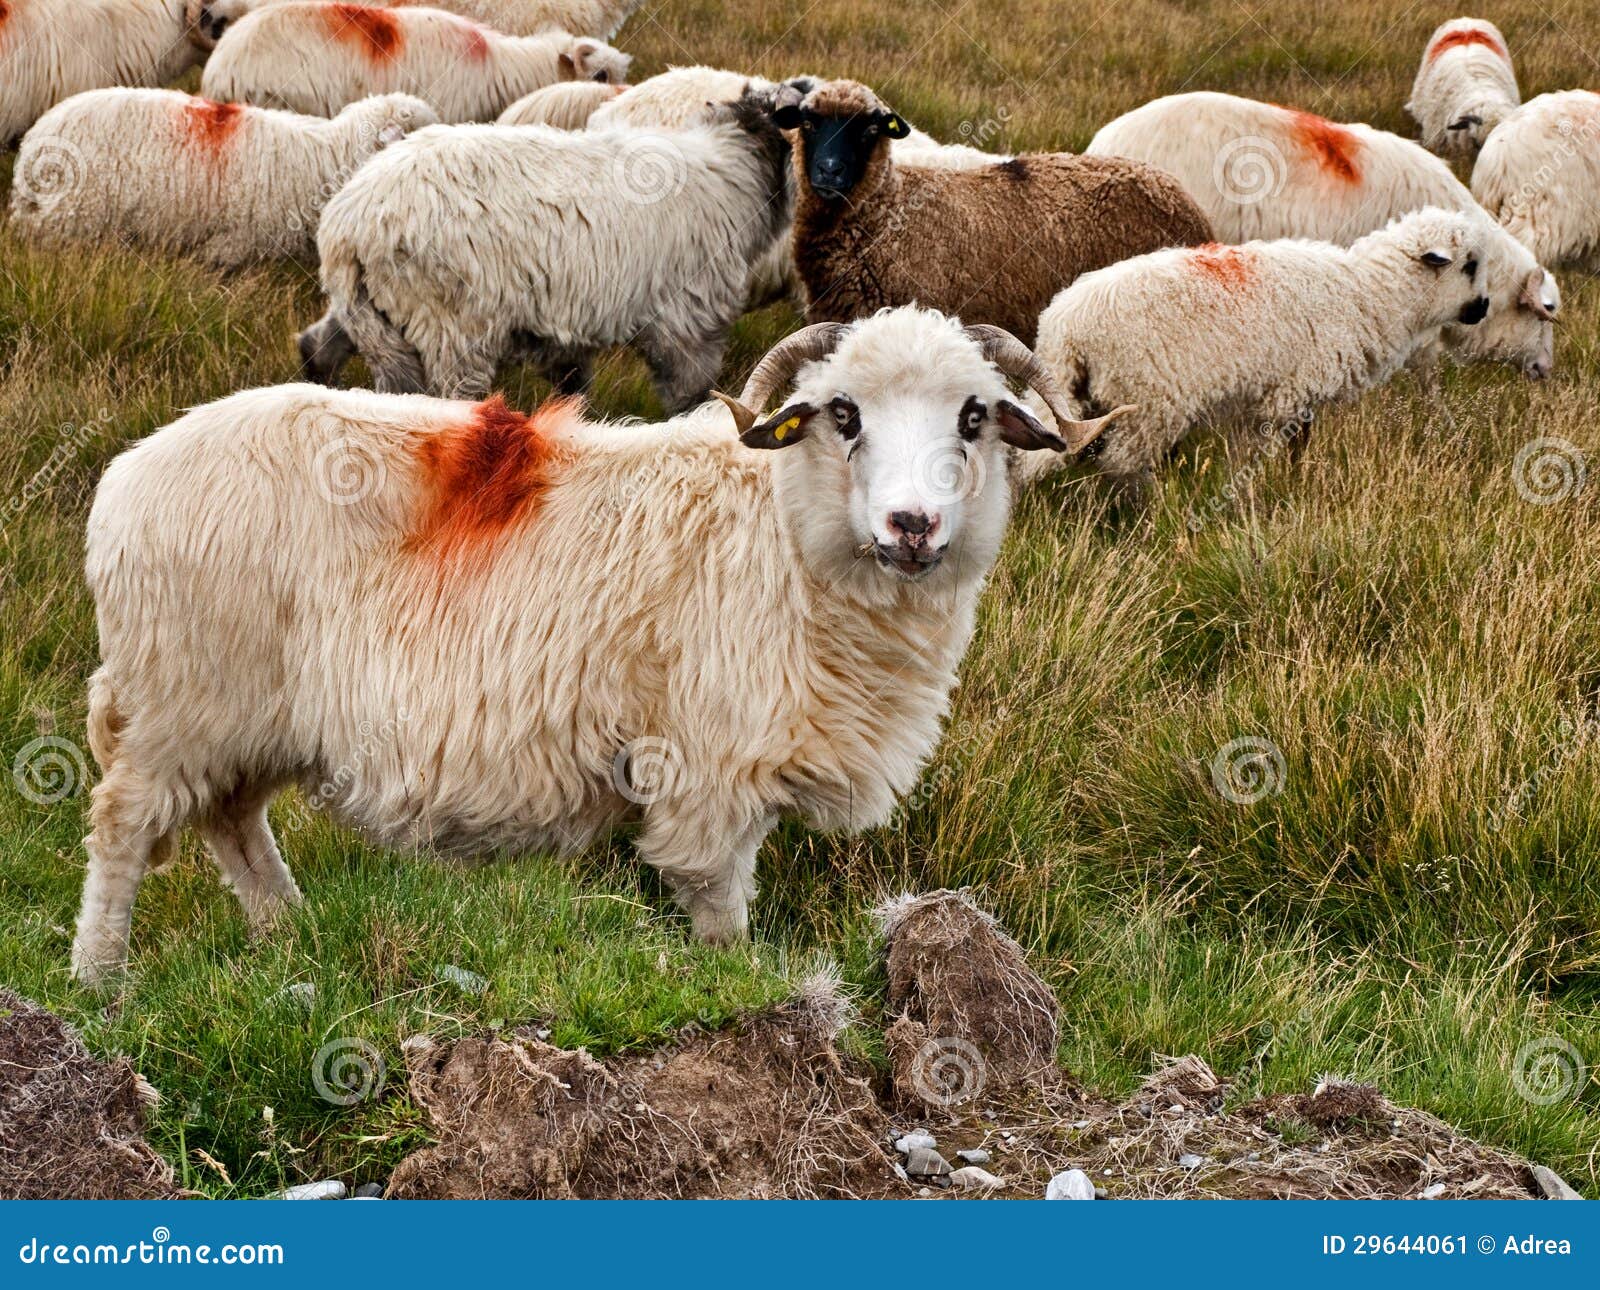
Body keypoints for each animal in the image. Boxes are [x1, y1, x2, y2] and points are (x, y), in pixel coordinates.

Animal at [68, 306, 1125, 981]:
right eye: (843, 413)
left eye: (975, 416)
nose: (912, 525)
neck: (782, 529)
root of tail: (127, 476)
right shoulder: (709, 766)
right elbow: (717, 899)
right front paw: (732, 983)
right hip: (181, 695)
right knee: (124, 822)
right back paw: (99, 976)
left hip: (242, 714)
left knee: (233, 823)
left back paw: (287, 933)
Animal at [298, 89, 793, 408]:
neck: (730, 173)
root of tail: (351, 223)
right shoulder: (689, 322)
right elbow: (689, 397)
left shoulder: (569, 327)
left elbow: (573, 390)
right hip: (450, 326)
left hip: (367, 313)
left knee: (319, 347)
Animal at [1029, 207, 1494, 491]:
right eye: (1470, 265)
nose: (1483, 307)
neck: (1368, 292)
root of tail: (1065, 326)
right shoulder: (1294, 390)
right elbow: (1295, 447)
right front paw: (1293, 486)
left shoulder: (1256, 401)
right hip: (1150, 402)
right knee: (1122, 464)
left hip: (1076, 395)